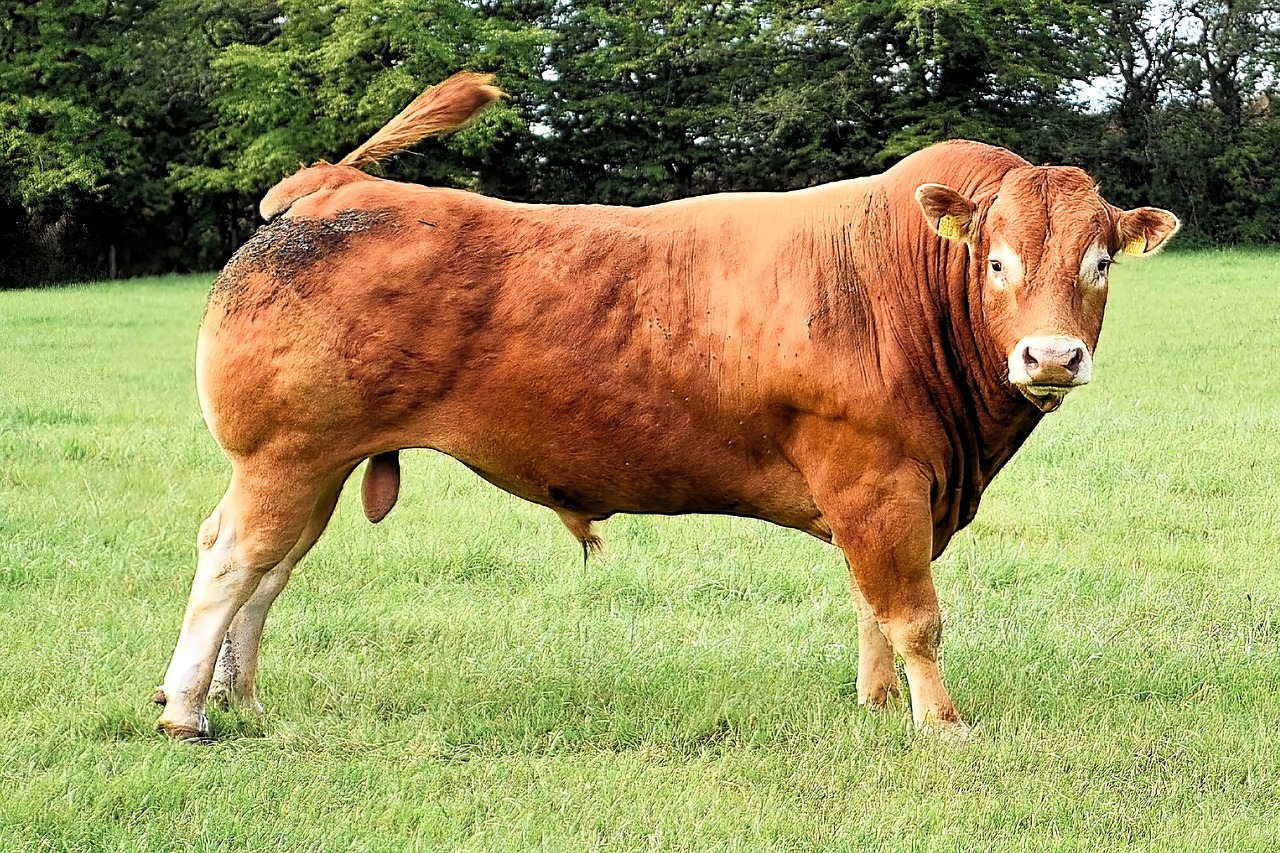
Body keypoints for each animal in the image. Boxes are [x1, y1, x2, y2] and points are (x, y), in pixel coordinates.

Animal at [155, 73, 1179, 741]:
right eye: (996, 260)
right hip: (283, 454)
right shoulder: (877, 477)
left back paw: (244, 701)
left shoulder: (887, 496)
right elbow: (913, 611)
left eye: (1098, 262)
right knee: (230, 562)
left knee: (268, 573)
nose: (1052, 355)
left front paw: (878, 703)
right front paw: (942, 724)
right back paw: (187, 709)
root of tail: (339, 183)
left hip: (316, 464)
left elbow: (872, 602)